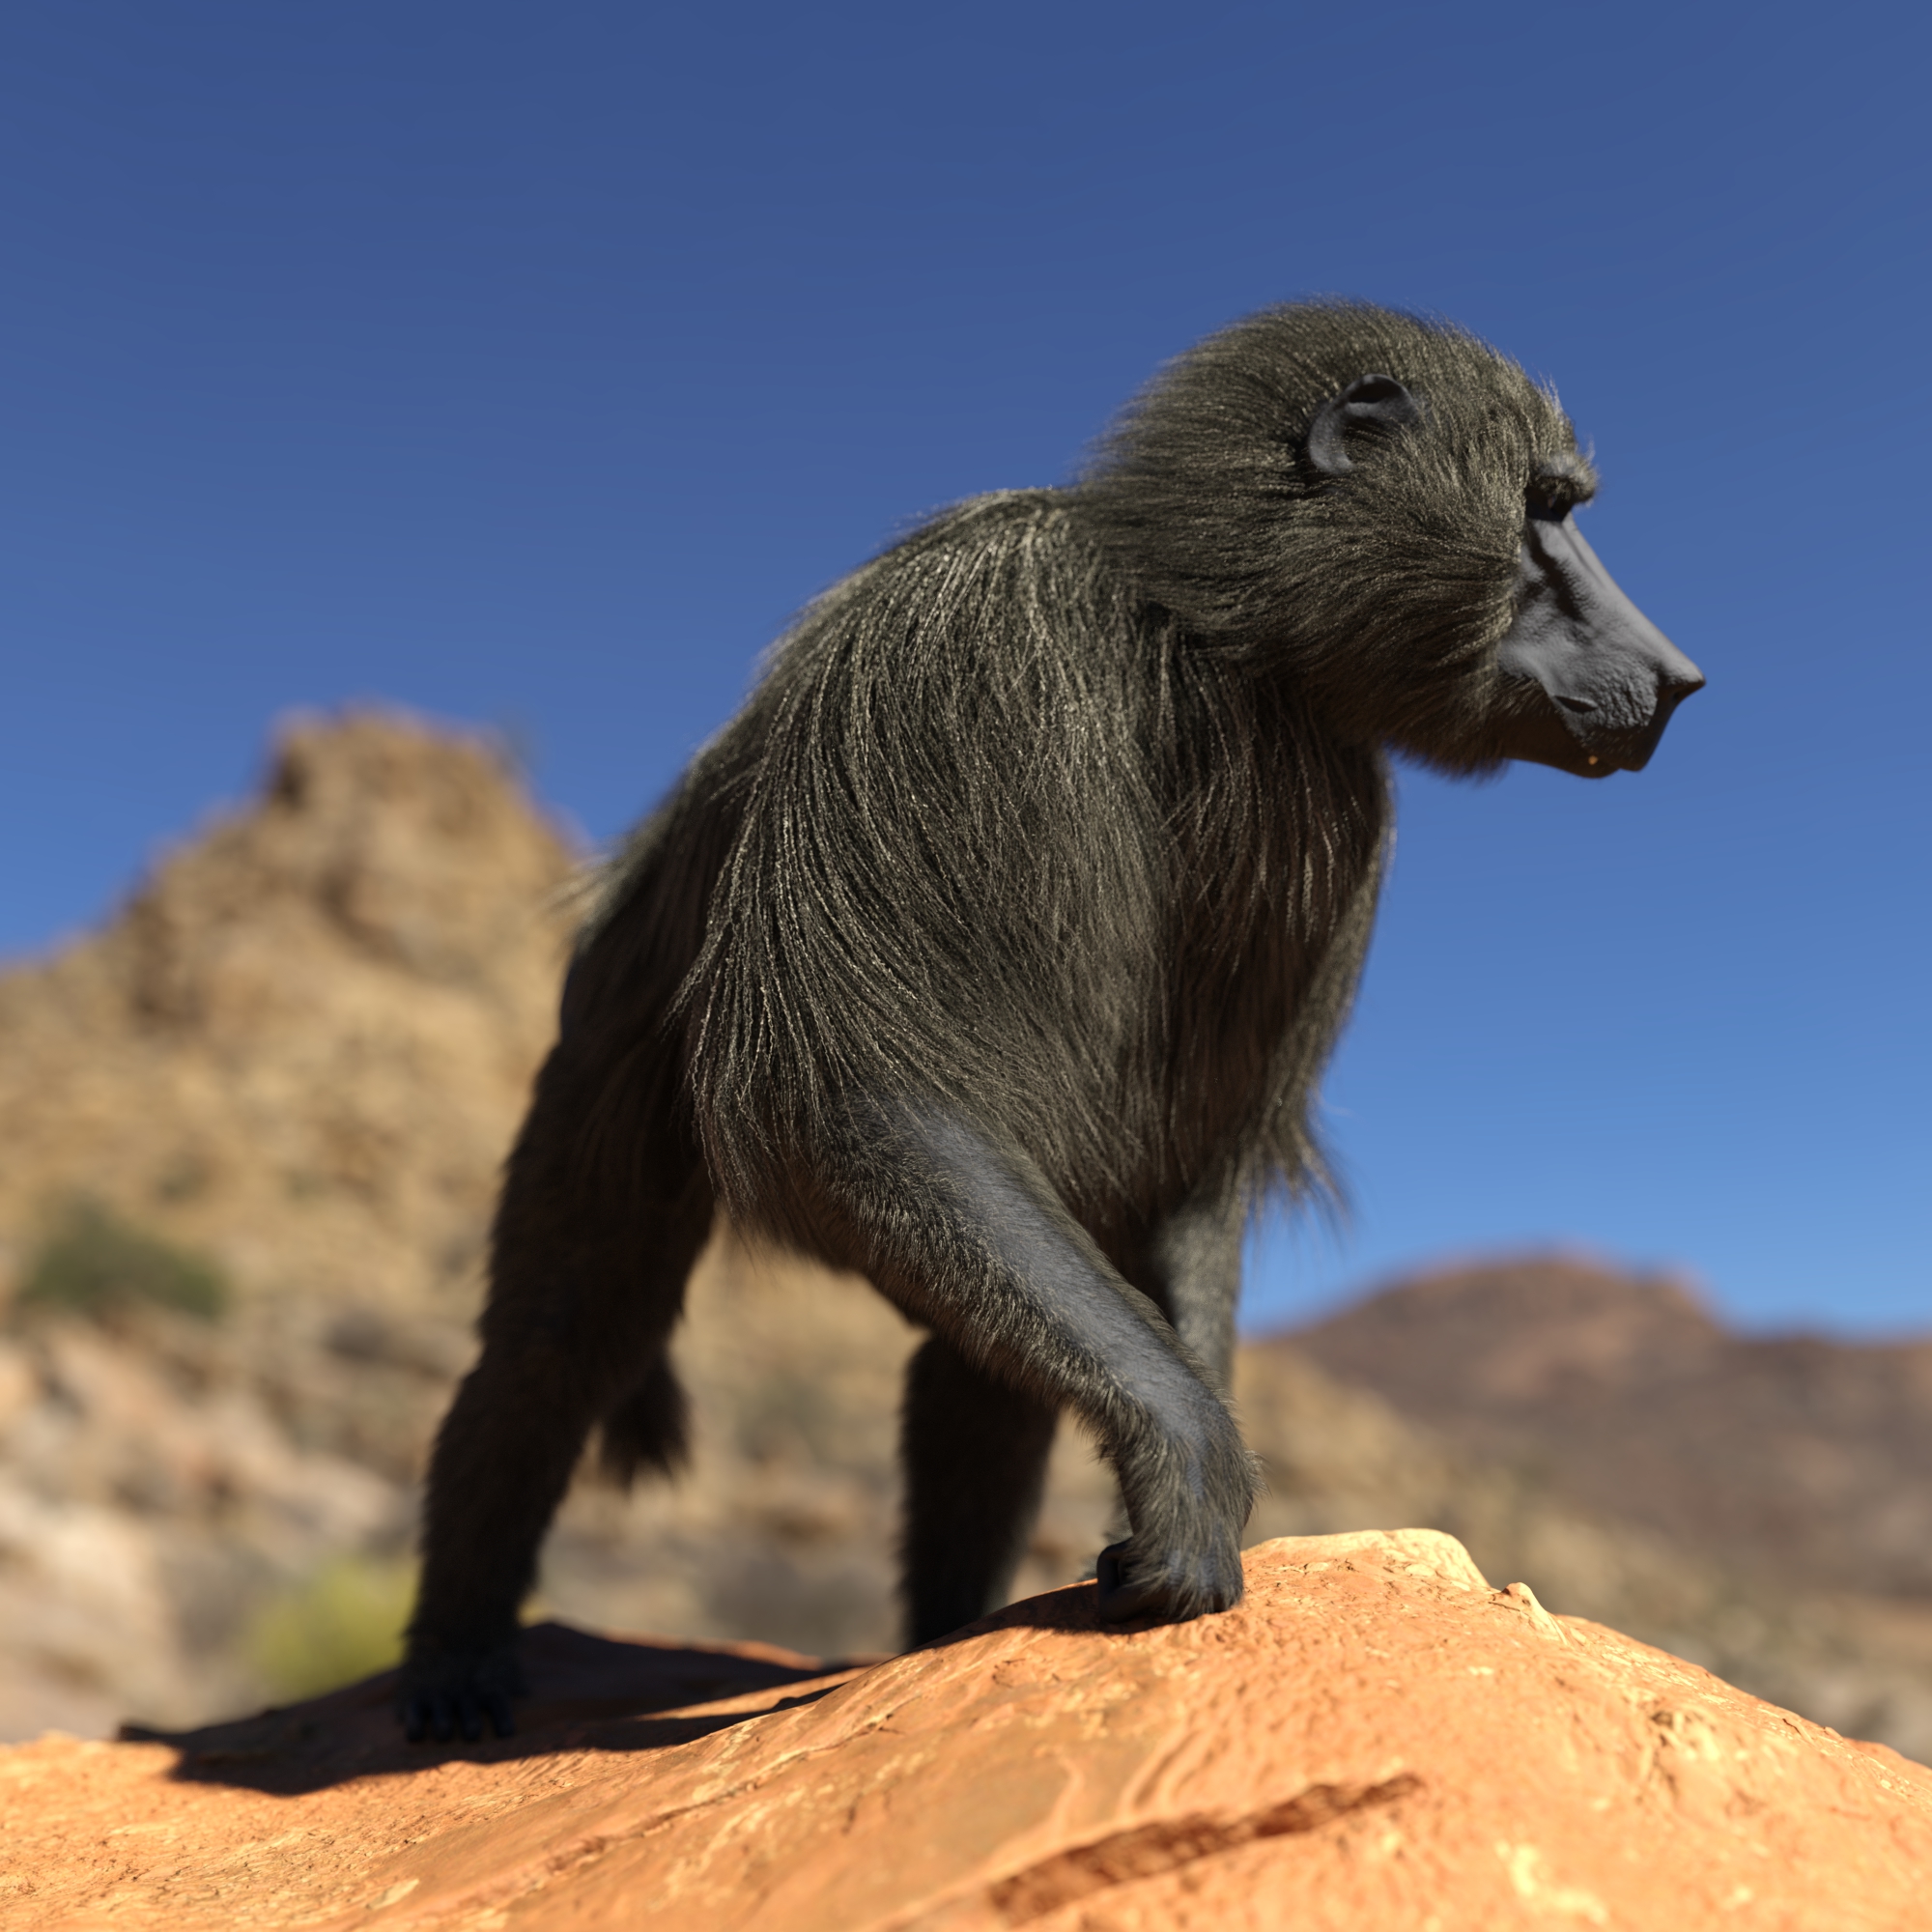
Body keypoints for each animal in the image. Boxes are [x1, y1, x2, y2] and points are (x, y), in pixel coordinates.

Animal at [397, 301, 1703, 1741]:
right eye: (1545, 511)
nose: (1674, 678)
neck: (1202, 630)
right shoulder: (955, 658)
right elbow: (859, 1096)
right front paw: (1191, 1467)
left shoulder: (1330, 814)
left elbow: (1183, 1174)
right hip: (606, 1049)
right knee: (565, 1336)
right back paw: (453, 1657)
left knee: (983, 1353)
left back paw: (937, 1643)